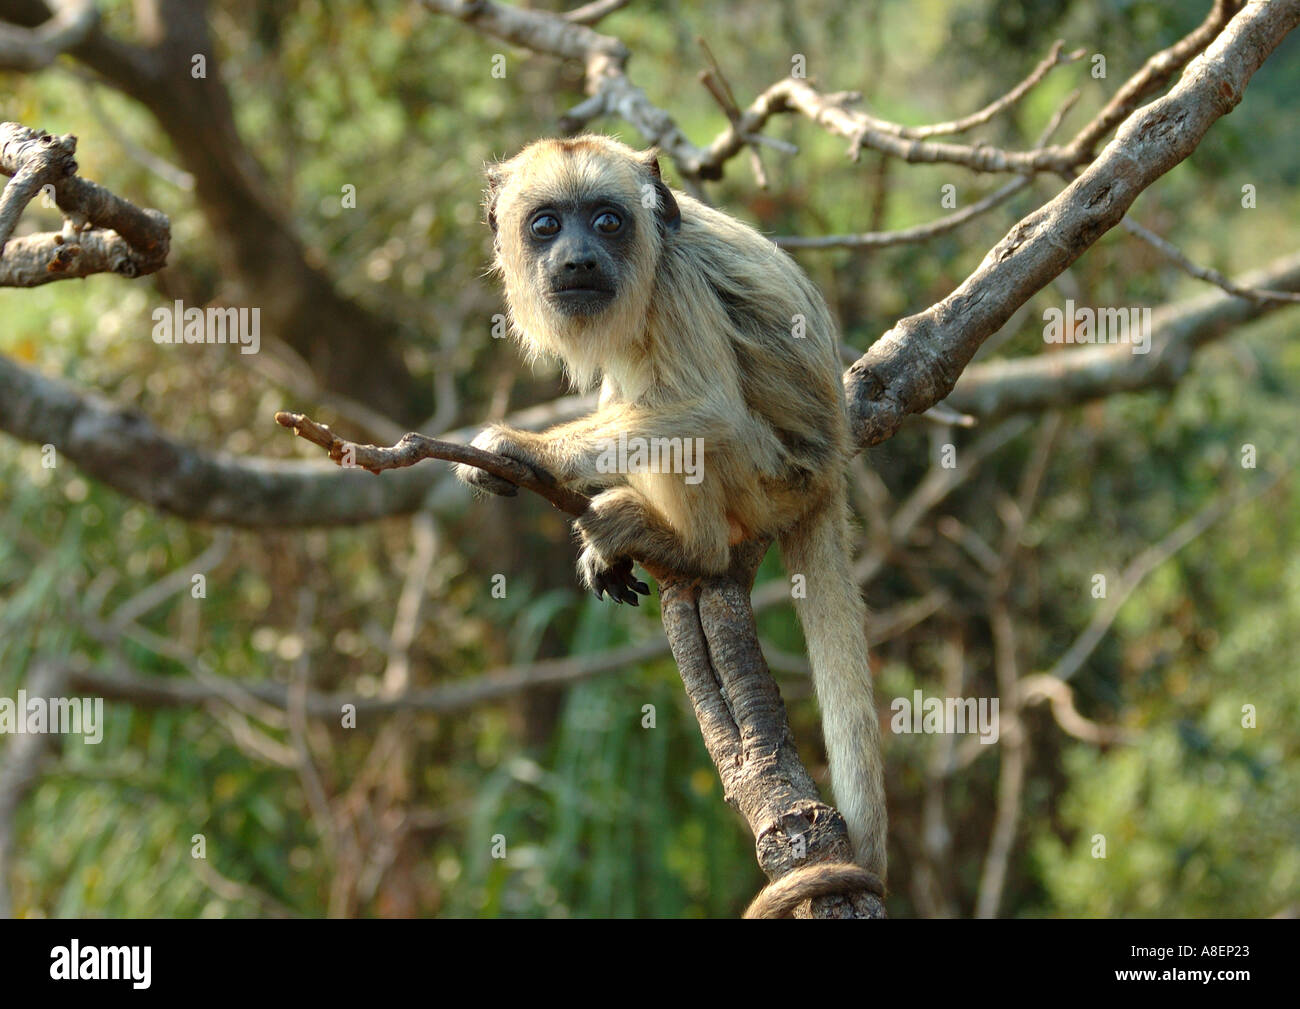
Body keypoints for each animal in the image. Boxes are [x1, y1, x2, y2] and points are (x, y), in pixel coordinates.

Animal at [455, 135, 887, 882]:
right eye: (546, 225)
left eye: (606, 221)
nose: (577, 259)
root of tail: (830, 470)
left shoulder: (675, 284)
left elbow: (705, 409)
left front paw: (522, 446)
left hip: (769, 478)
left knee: (689, 419)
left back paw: (689, 546)